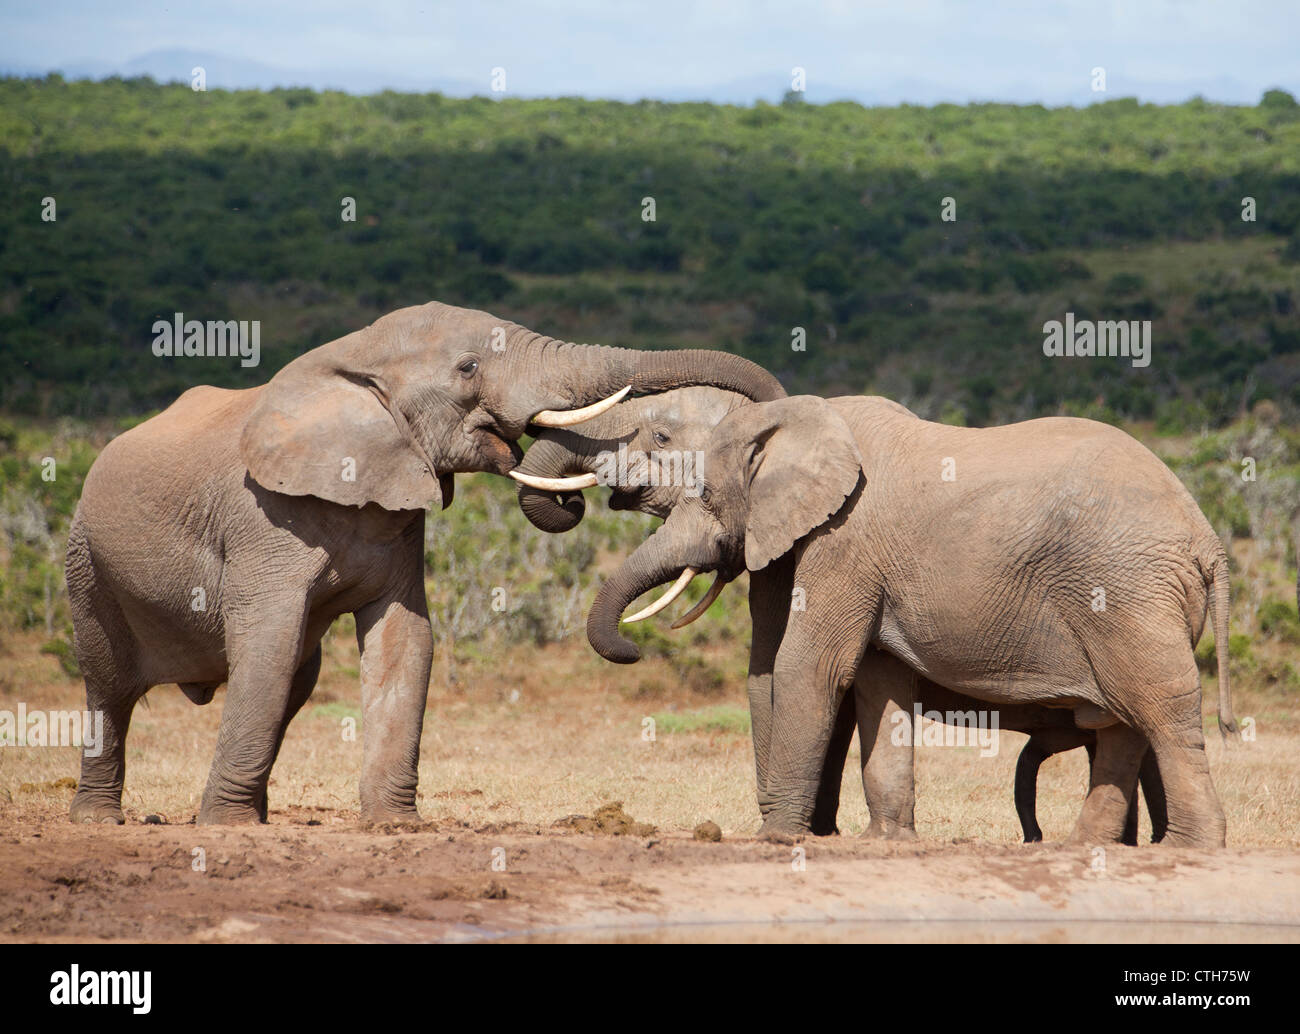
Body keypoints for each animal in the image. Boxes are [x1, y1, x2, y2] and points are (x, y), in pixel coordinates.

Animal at [64, 300, 783, 826]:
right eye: (468, 366)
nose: (578, 498)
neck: (352, 357)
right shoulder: (261, 521)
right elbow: (267, 643)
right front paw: (227, 830)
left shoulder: (401, 509)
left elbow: (404, 640)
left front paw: (393, 826)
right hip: (84, 557)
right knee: (108, 682)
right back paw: (100, 819)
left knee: (295, 680)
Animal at [511, 387, 1169, 843]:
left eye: (662, 438)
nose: (632, 648)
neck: (794, 413)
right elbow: (782, 669)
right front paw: (831, 833)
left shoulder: (842, 539)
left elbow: (805, 664)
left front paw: (781, 836)